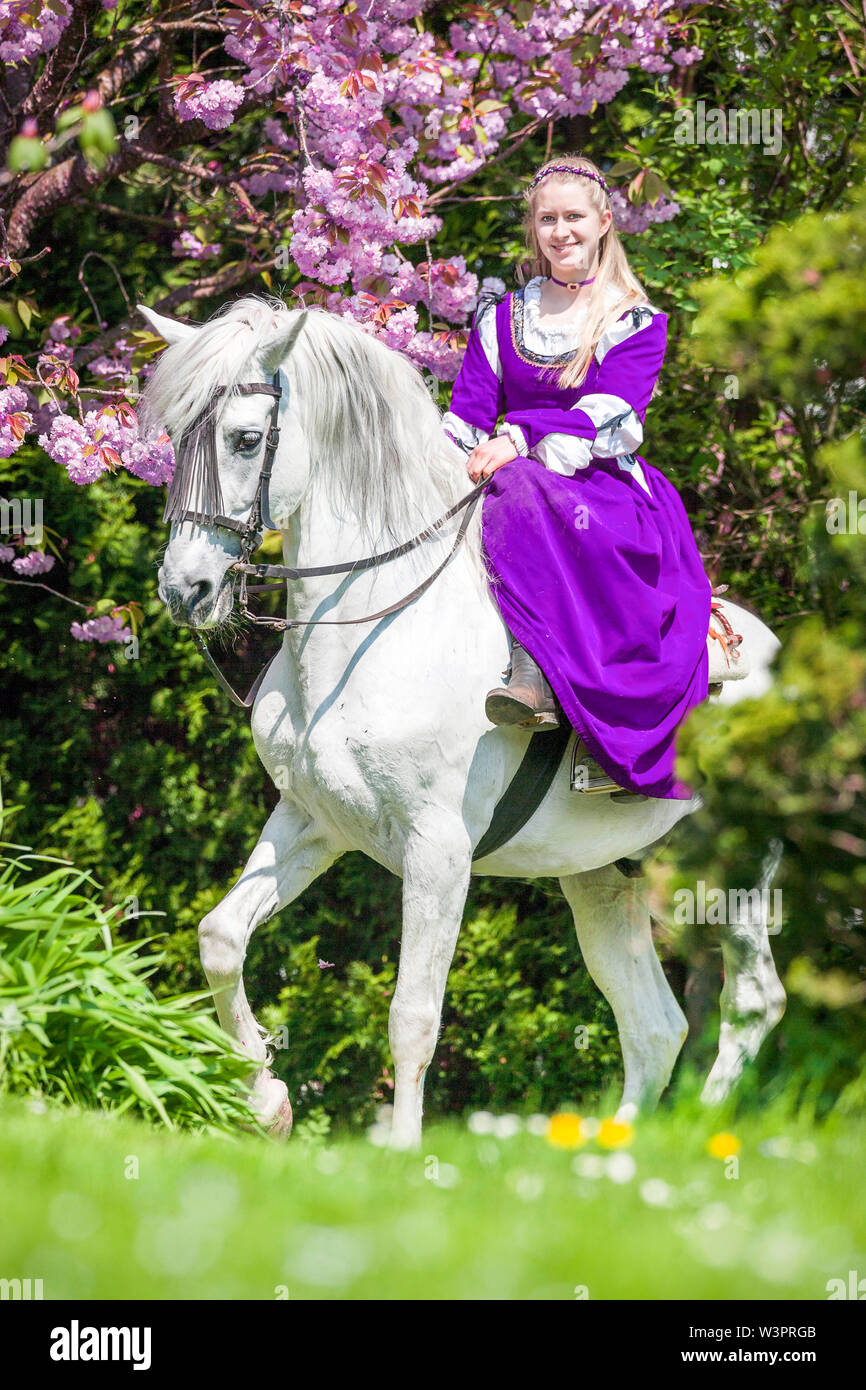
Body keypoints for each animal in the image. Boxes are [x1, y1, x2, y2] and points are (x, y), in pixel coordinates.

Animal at [139, 294, 786, 1148]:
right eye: (179, 437)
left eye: (246, 439)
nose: (186, 590)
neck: (375, 627)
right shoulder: (312, 822)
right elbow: (220, 939)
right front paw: (268, 1100)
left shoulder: (438, 849)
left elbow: (413, 1014)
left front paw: (403, 1155)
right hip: (601, 876)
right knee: (655, 1025)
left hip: (732, 873)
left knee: (752, 1002)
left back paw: (703, 1135)